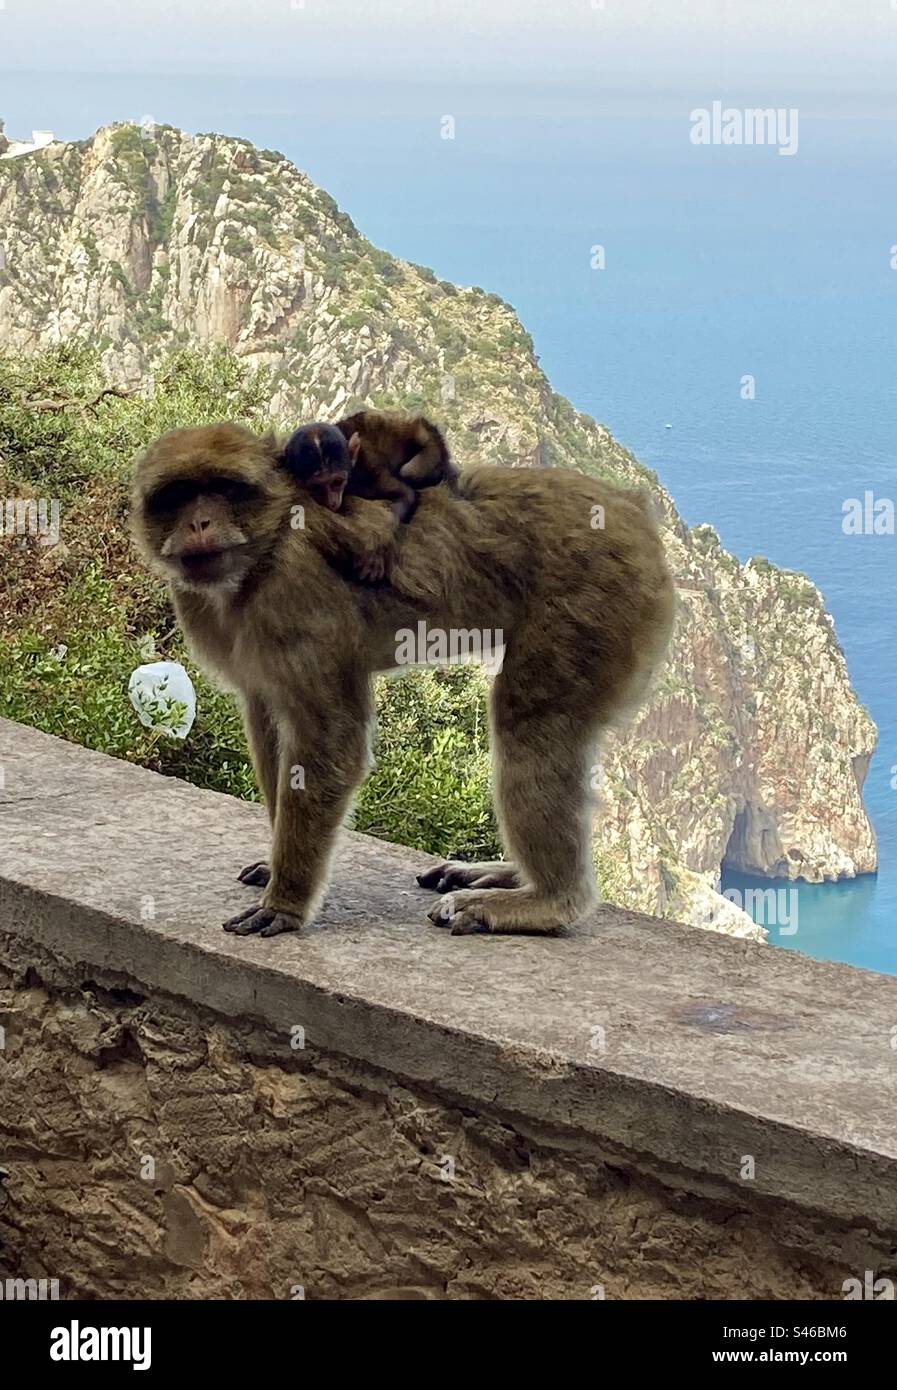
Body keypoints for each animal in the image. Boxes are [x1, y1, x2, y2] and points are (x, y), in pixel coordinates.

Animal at [279, 412, 458, 580]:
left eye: (337, 482)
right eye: (316, 487)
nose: (331, 501)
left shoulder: (369, 477)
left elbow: (405, 495)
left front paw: (377, 552)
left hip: (432, 450)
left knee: (410, 471)